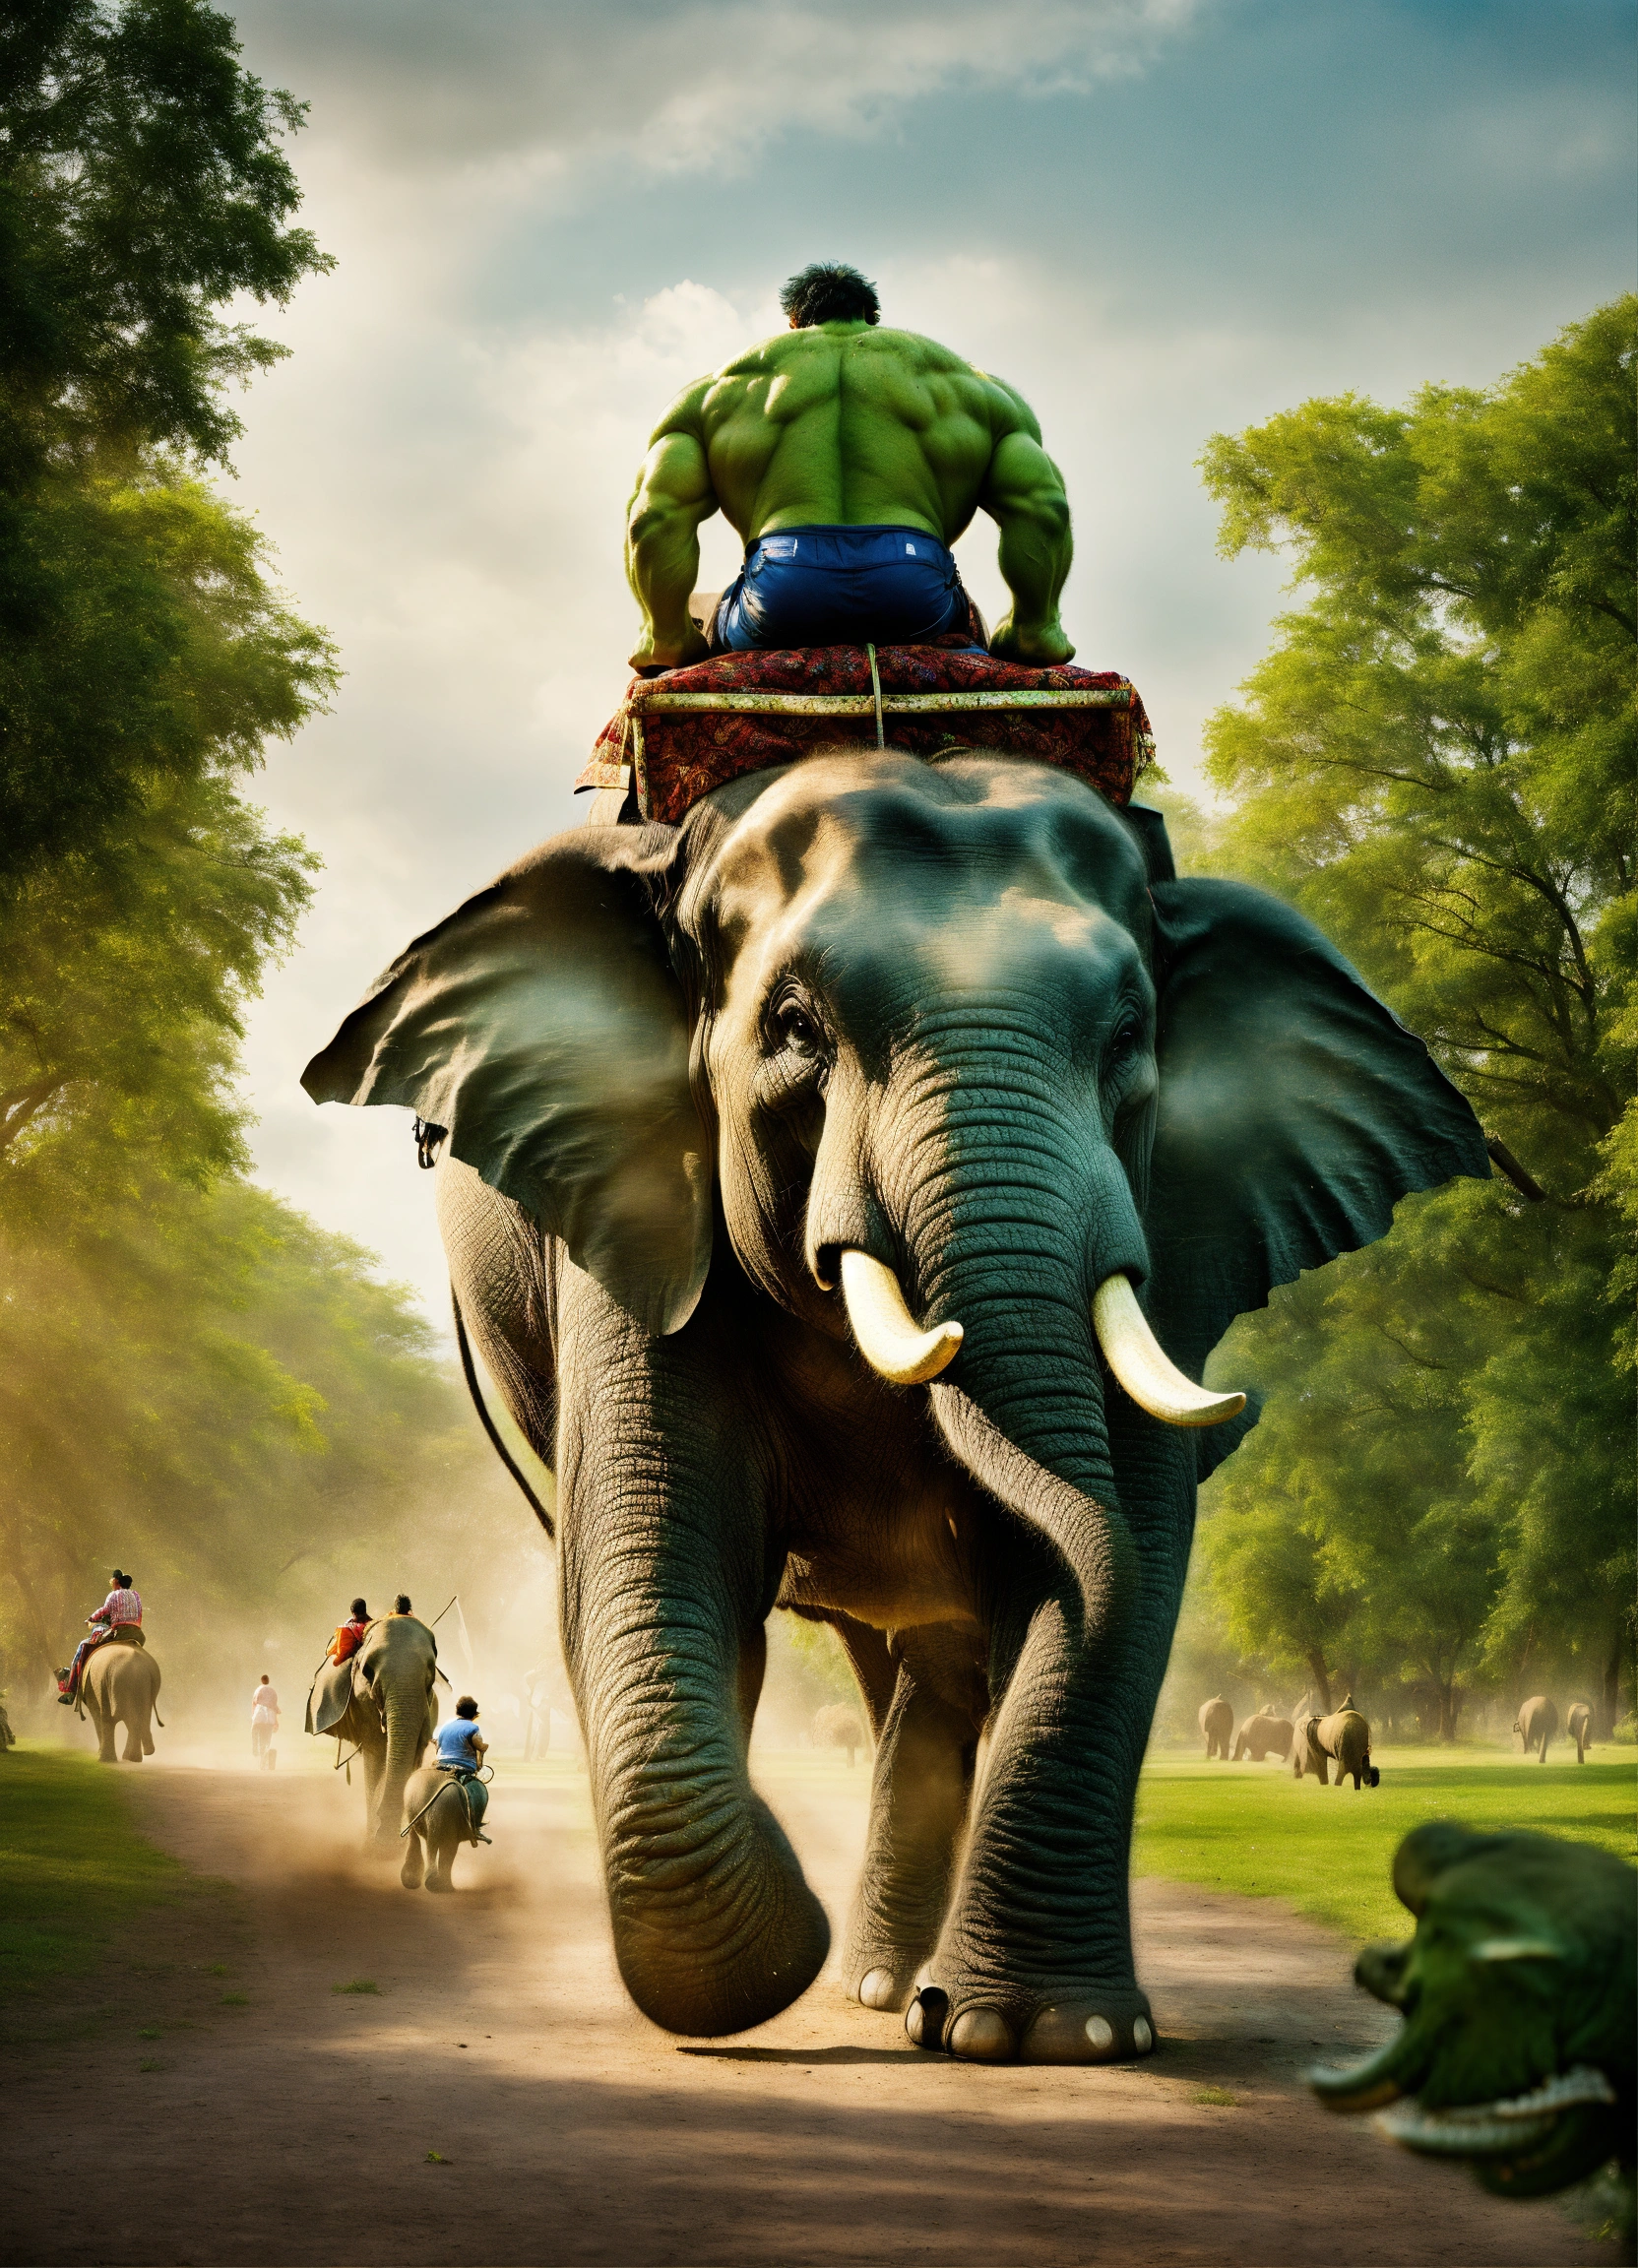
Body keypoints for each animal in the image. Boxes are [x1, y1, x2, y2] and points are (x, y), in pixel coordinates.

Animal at [400, 1764, 489, 1892]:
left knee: (419, 1838)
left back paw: (415, 1881)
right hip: (447, 1807)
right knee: (444, 1846)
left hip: (412, 1803)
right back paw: (437, 1884)